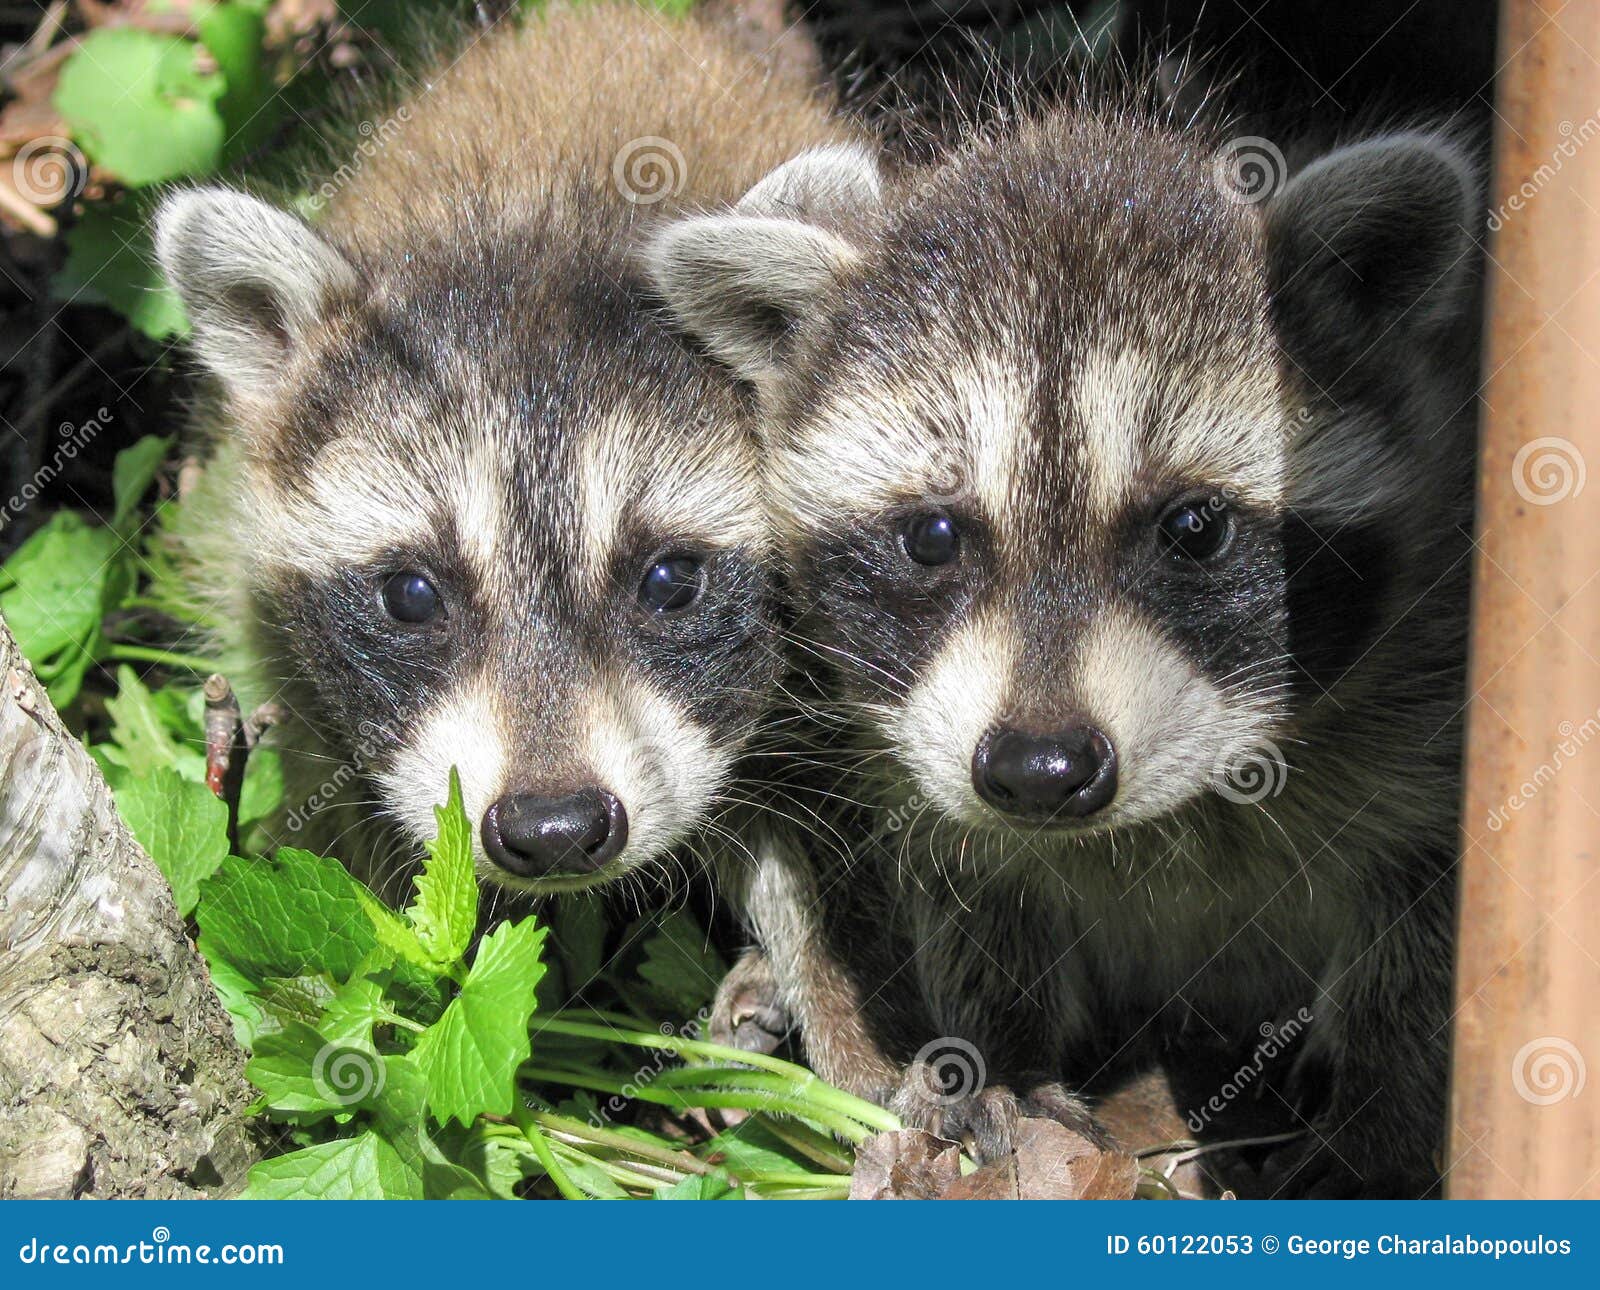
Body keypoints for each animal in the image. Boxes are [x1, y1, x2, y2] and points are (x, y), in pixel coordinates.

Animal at [647, 112, 1480, 1196]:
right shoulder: (920, 755)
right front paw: (997, 1052)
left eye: (1195, 528)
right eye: (932, 536)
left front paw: (1383, 1113)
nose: (1038, 771)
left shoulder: (1432, 679)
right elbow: (972, 891)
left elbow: (1424, 930)